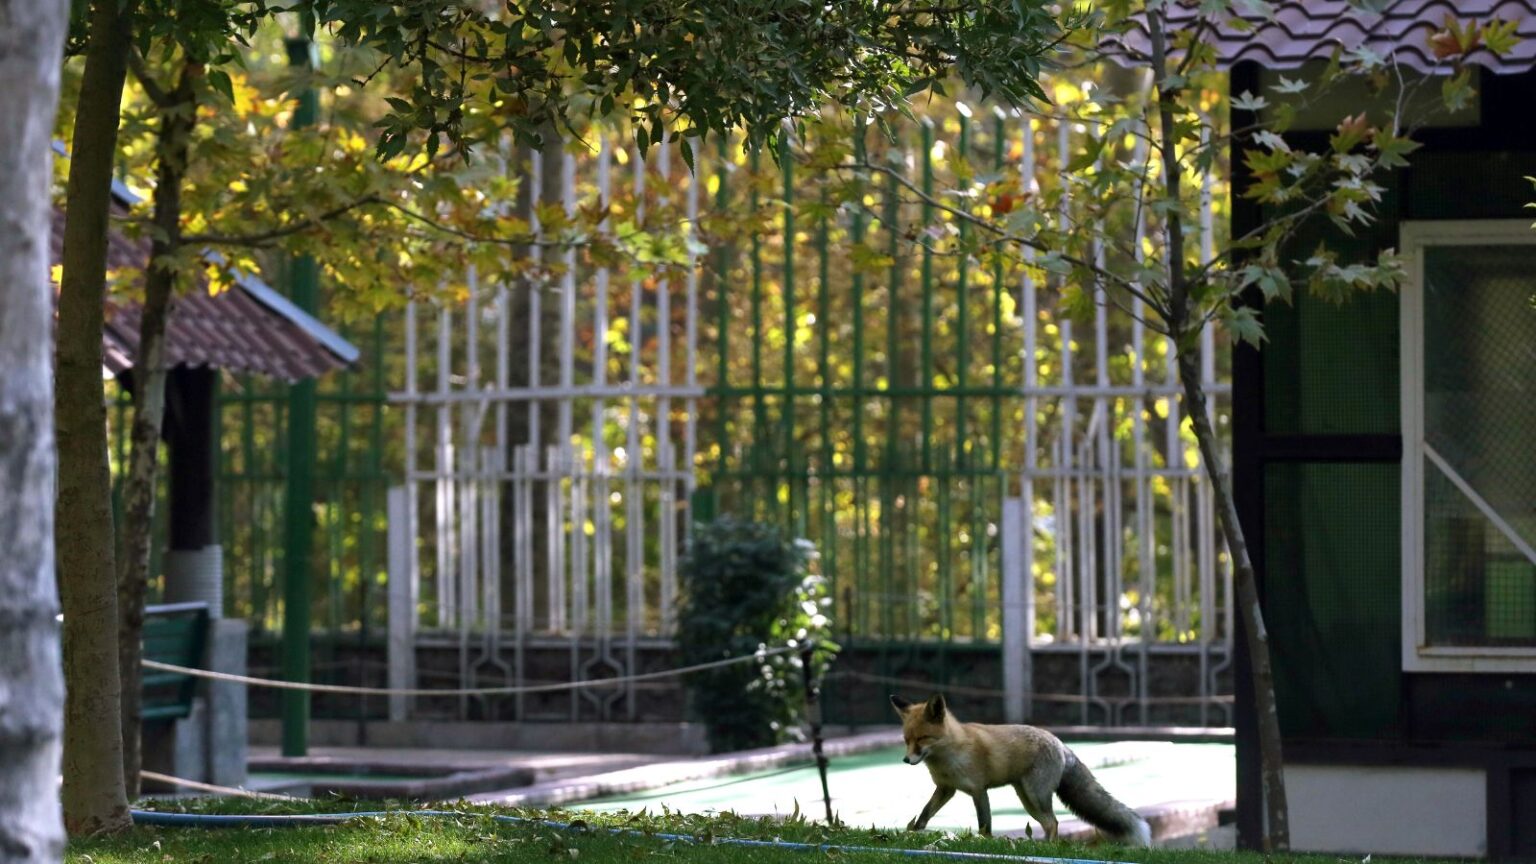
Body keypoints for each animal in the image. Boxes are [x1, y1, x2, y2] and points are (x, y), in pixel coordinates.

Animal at [891, 693, 1151, 847]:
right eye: (906, 740)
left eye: (922, 738)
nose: (906, 759)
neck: (949, 755)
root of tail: (1060, 742)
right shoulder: (946, 789)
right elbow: (924, 815)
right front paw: (911, 834)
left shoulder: (978, 790)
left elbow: (985, 825)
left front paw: (984, 844)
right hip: (1027, 798)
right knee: (1050, 823)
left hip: (1035, 795)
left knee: (1053, 822)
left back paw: (1047, 848)